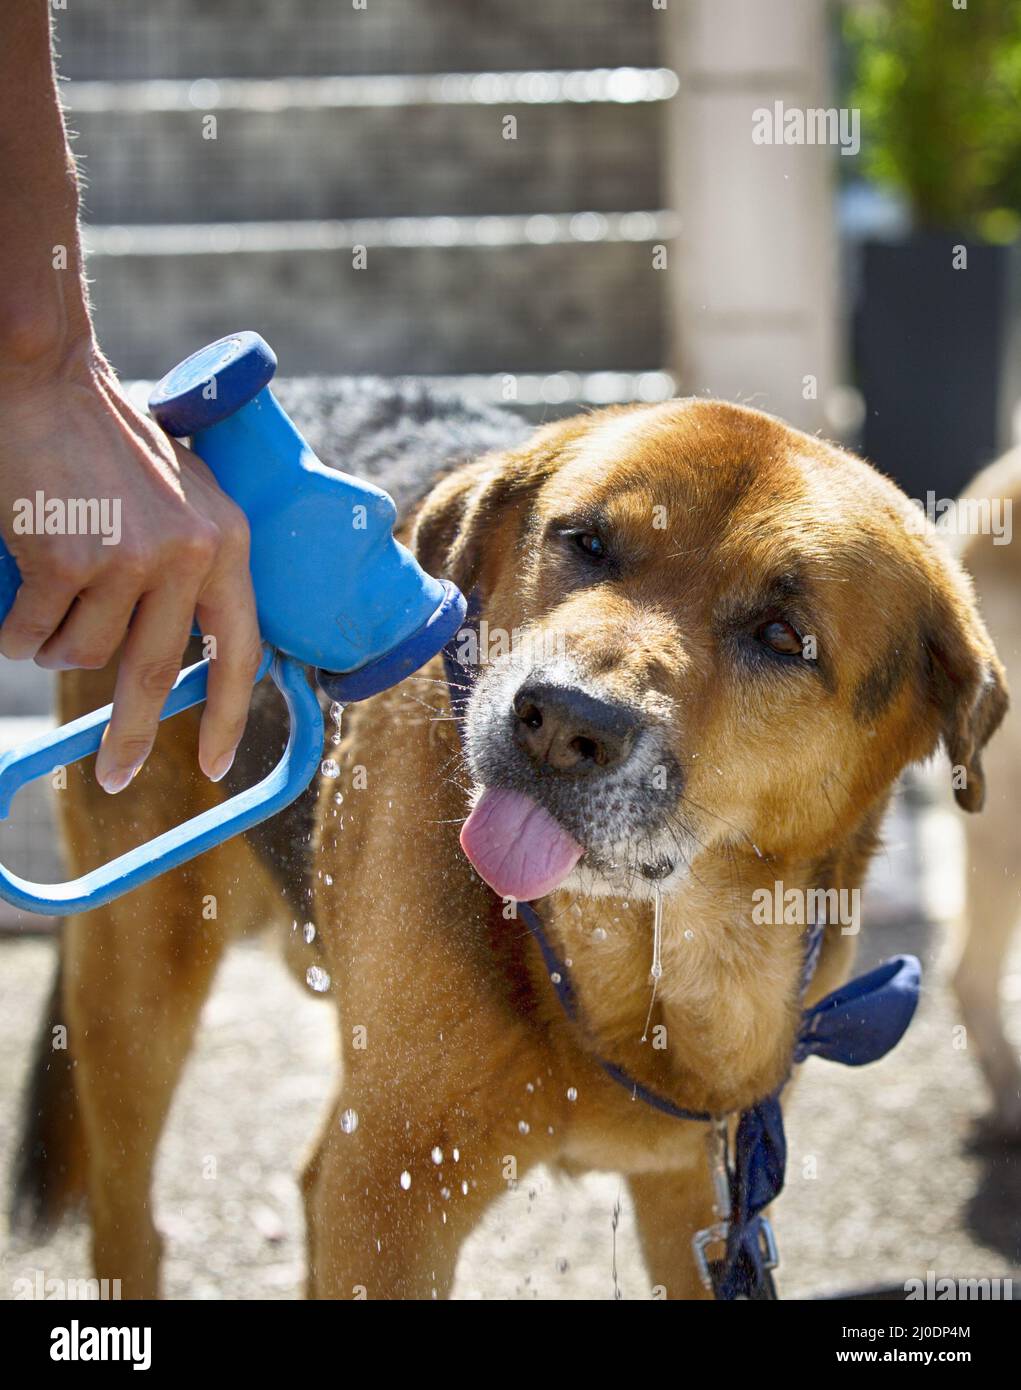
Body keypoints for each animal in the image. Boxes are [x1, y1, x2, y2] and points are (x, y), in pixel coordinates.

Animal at [11, 389, 1011, 1289]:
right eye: (585, 542)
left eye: (781, 635)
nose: (560, 723)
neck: (640, 969)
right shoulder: (388, 1200)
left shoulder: (695, 1199)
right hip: (138, 975)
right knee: (127, 1223)